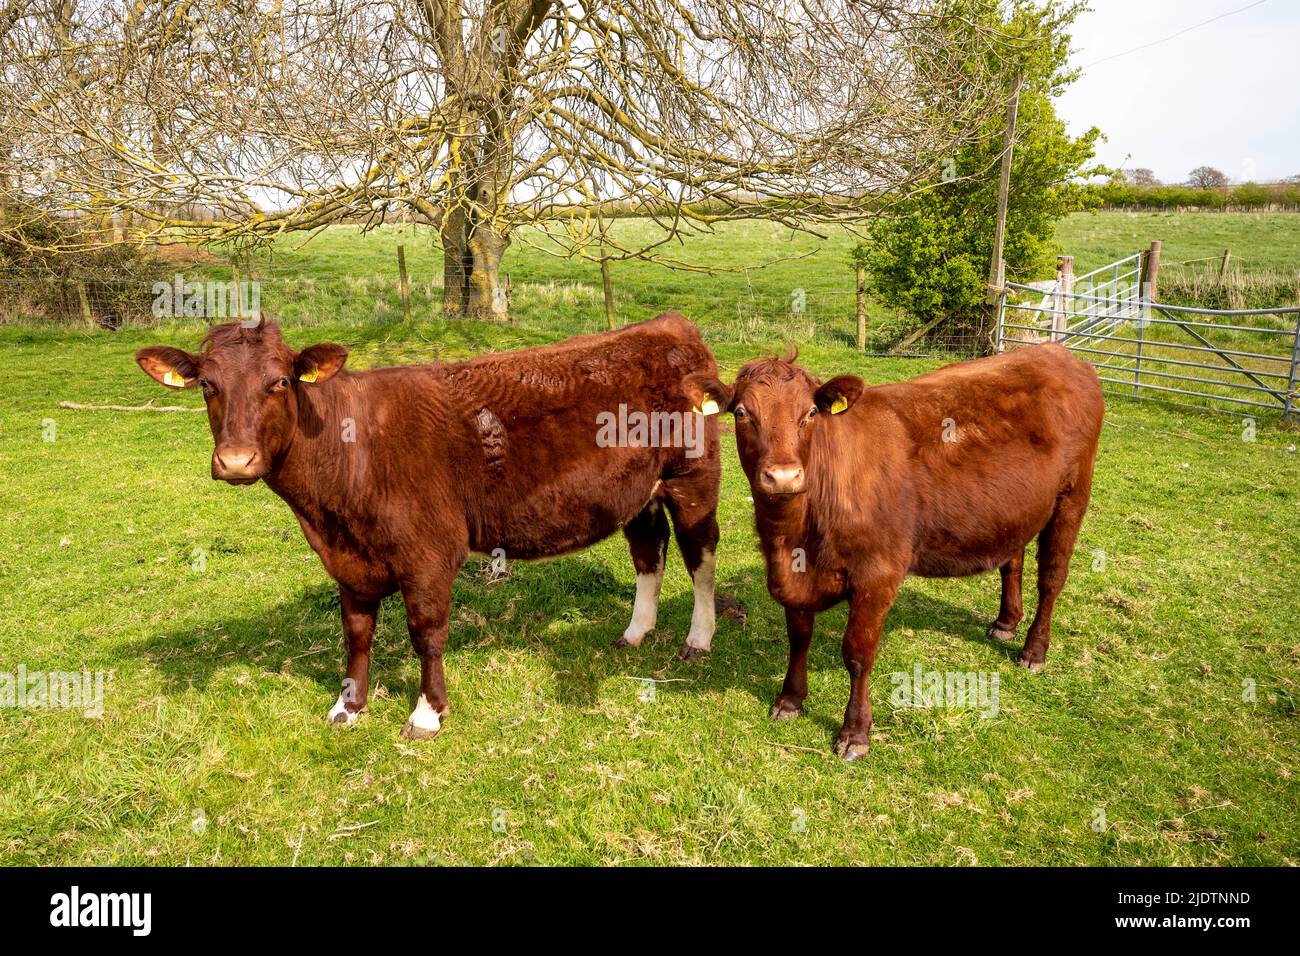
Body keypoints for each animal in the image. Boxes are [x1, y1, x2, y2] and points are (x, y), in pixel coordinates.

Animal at [135, 312, 722, 739]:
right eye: (207, 385)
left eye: (279, 382)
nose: (236, 460)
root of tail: (668, 326)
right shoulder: (348, 561)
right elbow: (356, 633)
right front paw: (348, 705)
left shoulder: (428, 553)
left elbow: (427, 633)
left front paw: (427, 712)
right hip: (640, 493)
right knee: (649, 552)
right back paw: (636, 632)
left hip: (693, 477)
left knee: (700, 555)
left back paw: (698, 639)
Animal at [685, 344, 1103, 759]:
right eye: (742, 413)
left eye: (811, 413)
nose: (784, 476)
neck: (794, 537)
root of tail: (1059, 354)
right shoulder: (794, 576)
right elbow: (799, 637)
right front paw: (790, 700)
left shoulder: (878, 574)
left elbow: (857, 653)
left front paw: (855, 733)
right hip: (1013, 511)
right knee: (1011, 561)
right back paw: (1005, 623)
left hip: (1072, 497)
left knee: (1052, 578)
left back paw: (1034, 651)